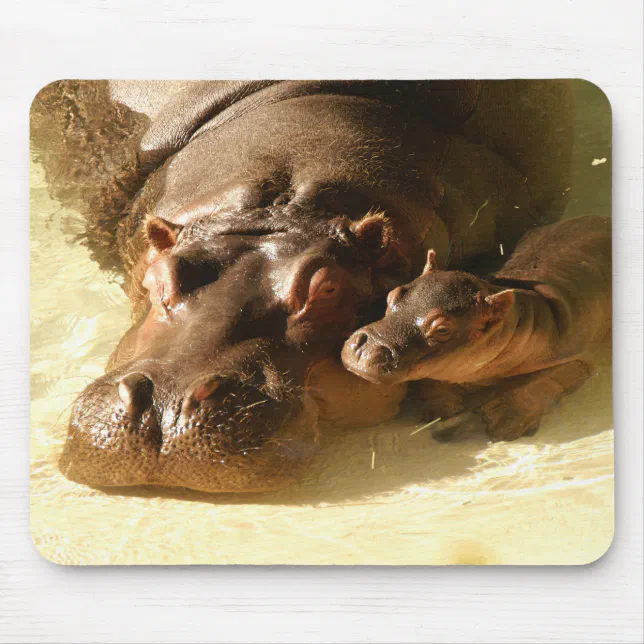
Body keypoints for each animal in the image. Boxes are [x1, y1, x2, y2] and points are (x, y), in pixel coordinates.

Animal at [342, 216, 612, 442]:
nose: (366, 348)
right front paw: (442, 409)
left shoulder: (581, 356)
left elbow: (541, 380)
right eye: (394, 294)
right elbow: (431, 379)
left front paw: (503, 420)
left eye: (442, 330)